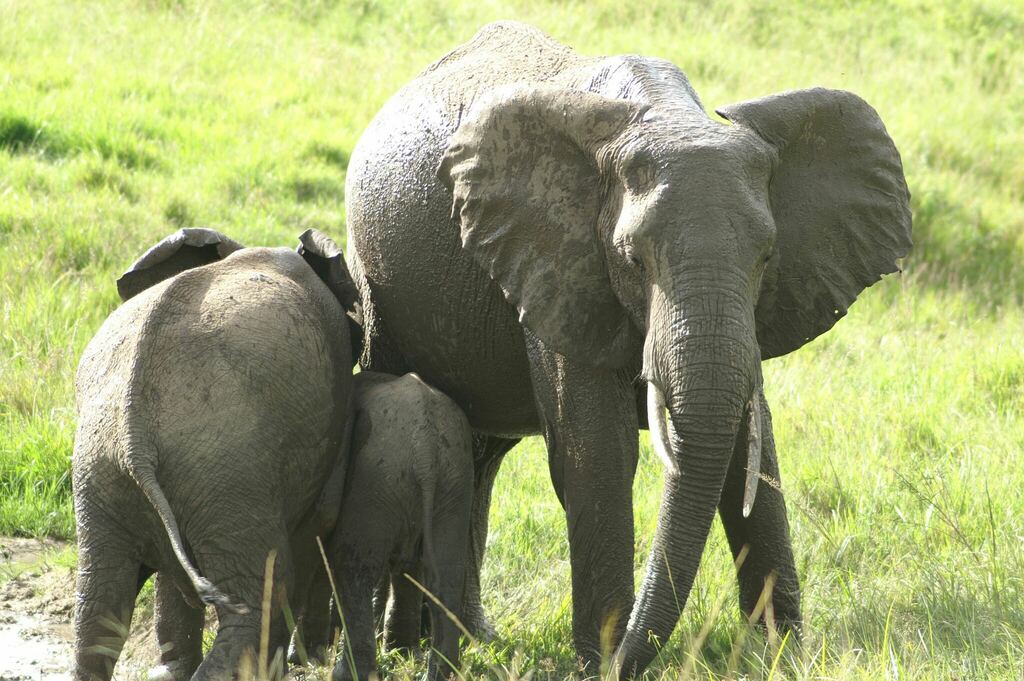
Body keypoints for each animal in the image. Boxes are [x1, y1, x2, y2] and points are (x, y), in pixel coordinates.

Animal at [71, 227, 361, 681]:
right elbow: (322, 522)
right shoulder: (340, 402)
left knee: (98, 602)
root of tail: (136, 437)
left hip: (103, 473)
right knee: (260, 595)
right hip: (227, 474)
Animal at [295, 371, 474, 681]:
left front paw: (305, 659)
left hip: (377, 480)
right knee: (447, 575)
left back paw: (348, 673)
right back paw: (442, 672)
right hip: (453, 482)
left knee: (353, 569)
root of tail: (426, 449)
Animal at [343, 21, 912, 676]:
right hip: (376, 284)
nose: (625, 658)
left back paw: (471, 637)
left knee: (480, 455)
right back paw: (403, 645)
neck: (665, 116)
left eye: (767, 258)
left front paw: (783, 657)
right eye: (634, 261)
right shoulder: (558, 264)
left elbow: (751, 444)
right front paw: (601, 663)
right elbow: (597, 454)